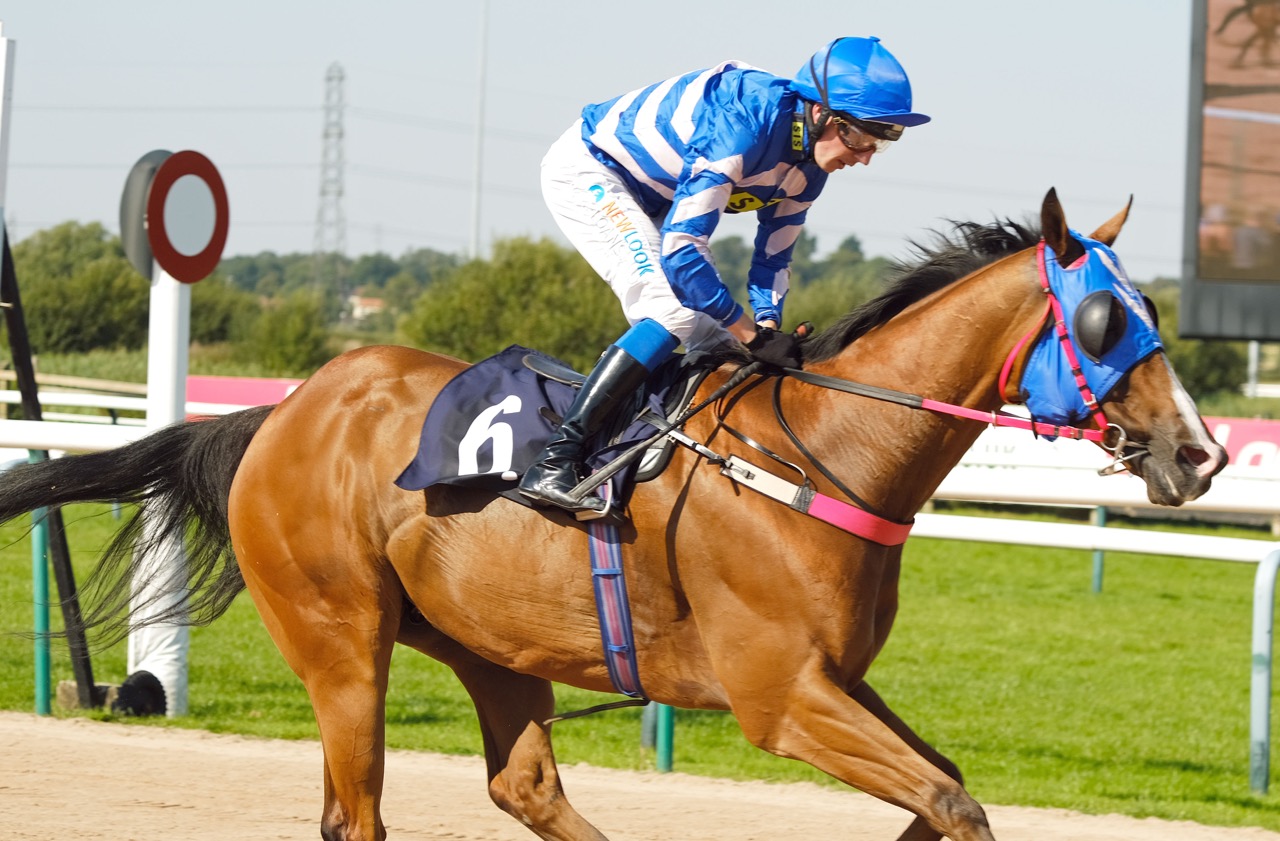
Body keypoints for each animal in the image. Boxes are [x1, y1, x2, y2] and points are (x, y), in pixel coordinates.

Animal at [0, 190, 1227, 841]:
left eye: (1154, 311)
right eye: (1106, 318)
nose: (1201, 453)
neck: (826, 455)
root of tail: (282, 412)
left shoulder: (837, 677)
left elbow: (945, 793)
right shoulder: (780, 697)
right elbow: (951, 799)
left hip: (491, 642)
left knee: (522, 783)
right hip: (342, 640)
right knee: (360, 813)